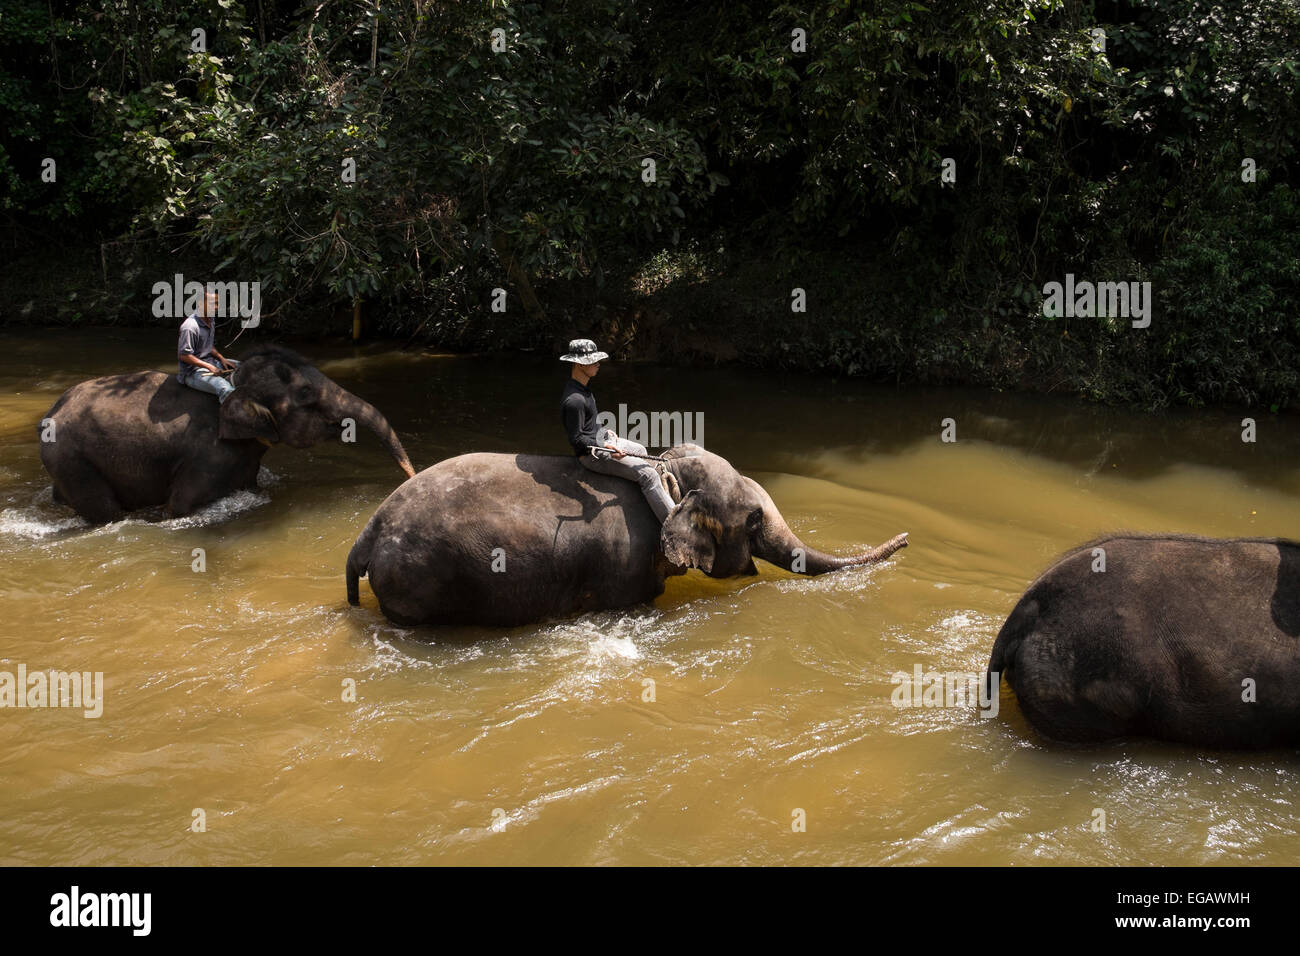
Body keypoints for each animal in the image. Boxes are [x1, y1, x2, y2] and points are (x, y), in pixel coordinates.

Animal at [38, 344, 416, 523]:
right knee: (104, 511)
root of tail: (51, 413)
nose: (410, 475)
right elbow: (180, 506)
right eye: (307, 394)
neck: (234, 381)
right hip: (74, 462)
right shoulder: (208, 456)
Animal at [346, 443, 908, 627]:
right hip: (417, 581)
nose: (906, 538)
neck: (666, 474)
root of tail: (367, 533)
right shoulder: (623, 569)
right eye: (752, 521)